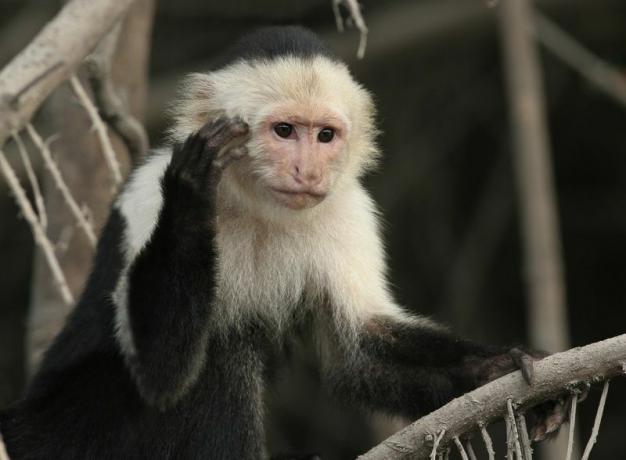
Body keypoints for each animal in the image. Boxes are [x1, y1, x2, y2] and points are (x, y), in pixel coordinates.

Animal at [0, 26, 564, 460]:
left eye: (325, 136)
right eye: (285, 130)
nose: (307, 171)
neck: (256, 205)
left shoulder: (349, 211)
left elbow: (360, 353)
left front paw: (493, 367)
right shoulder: (144, 195)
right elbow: (159, 376)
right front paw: (190, 194)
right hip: (66, 433)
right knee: (221, 346)